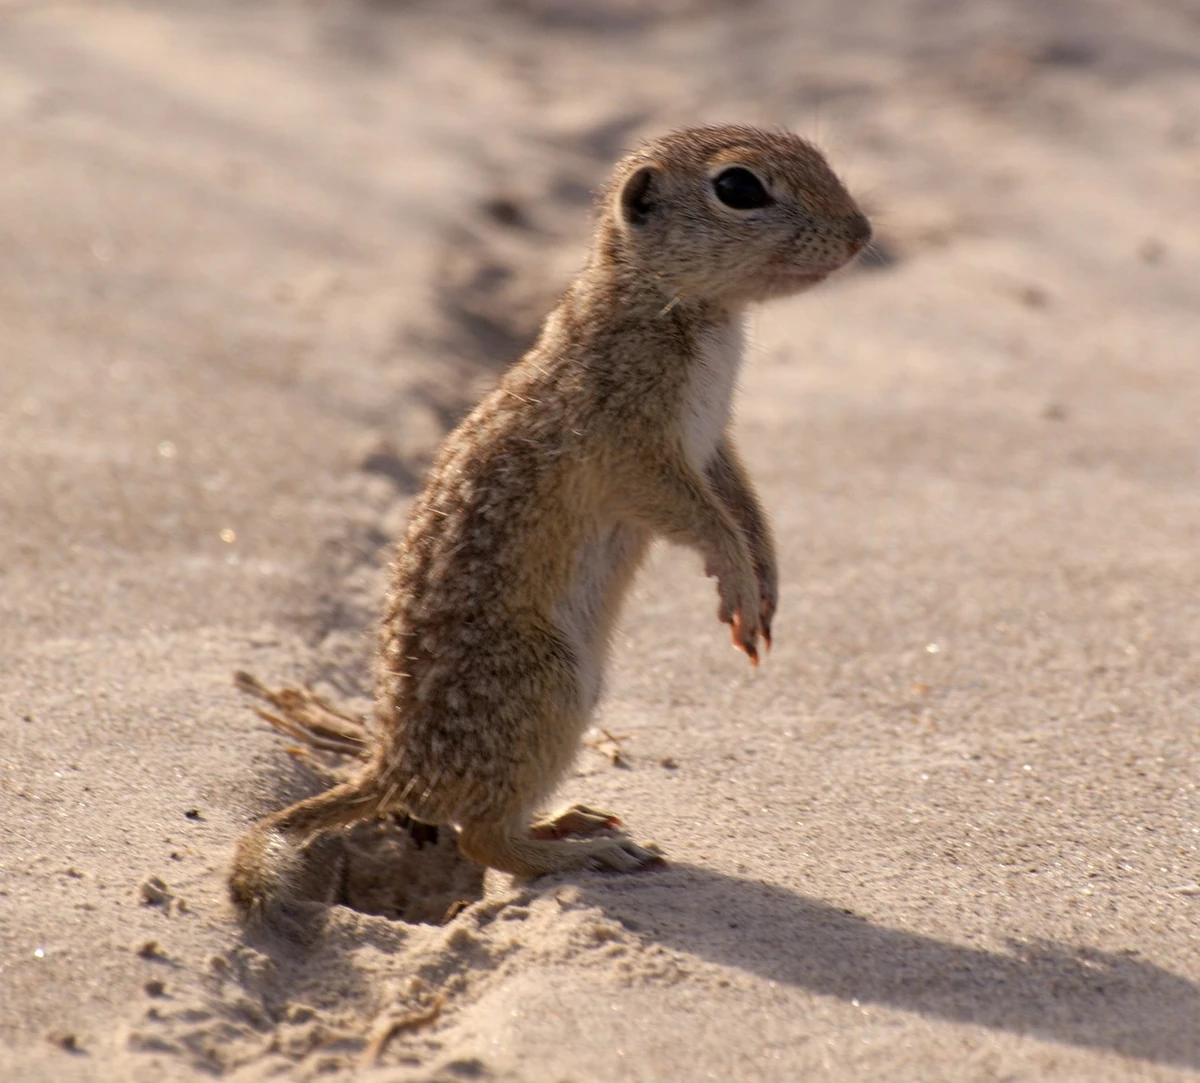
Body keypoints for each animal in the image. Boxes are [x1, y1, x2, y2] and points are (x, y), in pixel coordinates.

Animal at [230, 124, 870, 915]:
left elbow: (742, 502)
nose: (862, 233)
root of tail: (393, 768)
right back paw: (583, 852)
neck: (665, 302)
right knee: (479, 838)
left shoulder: (711, 442)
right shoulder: (635, 448)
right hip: (550, 683)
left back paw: (570, 820)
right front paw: (737, 582)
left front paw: (766, 577)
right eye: (739, 188)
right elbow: (698, 516)